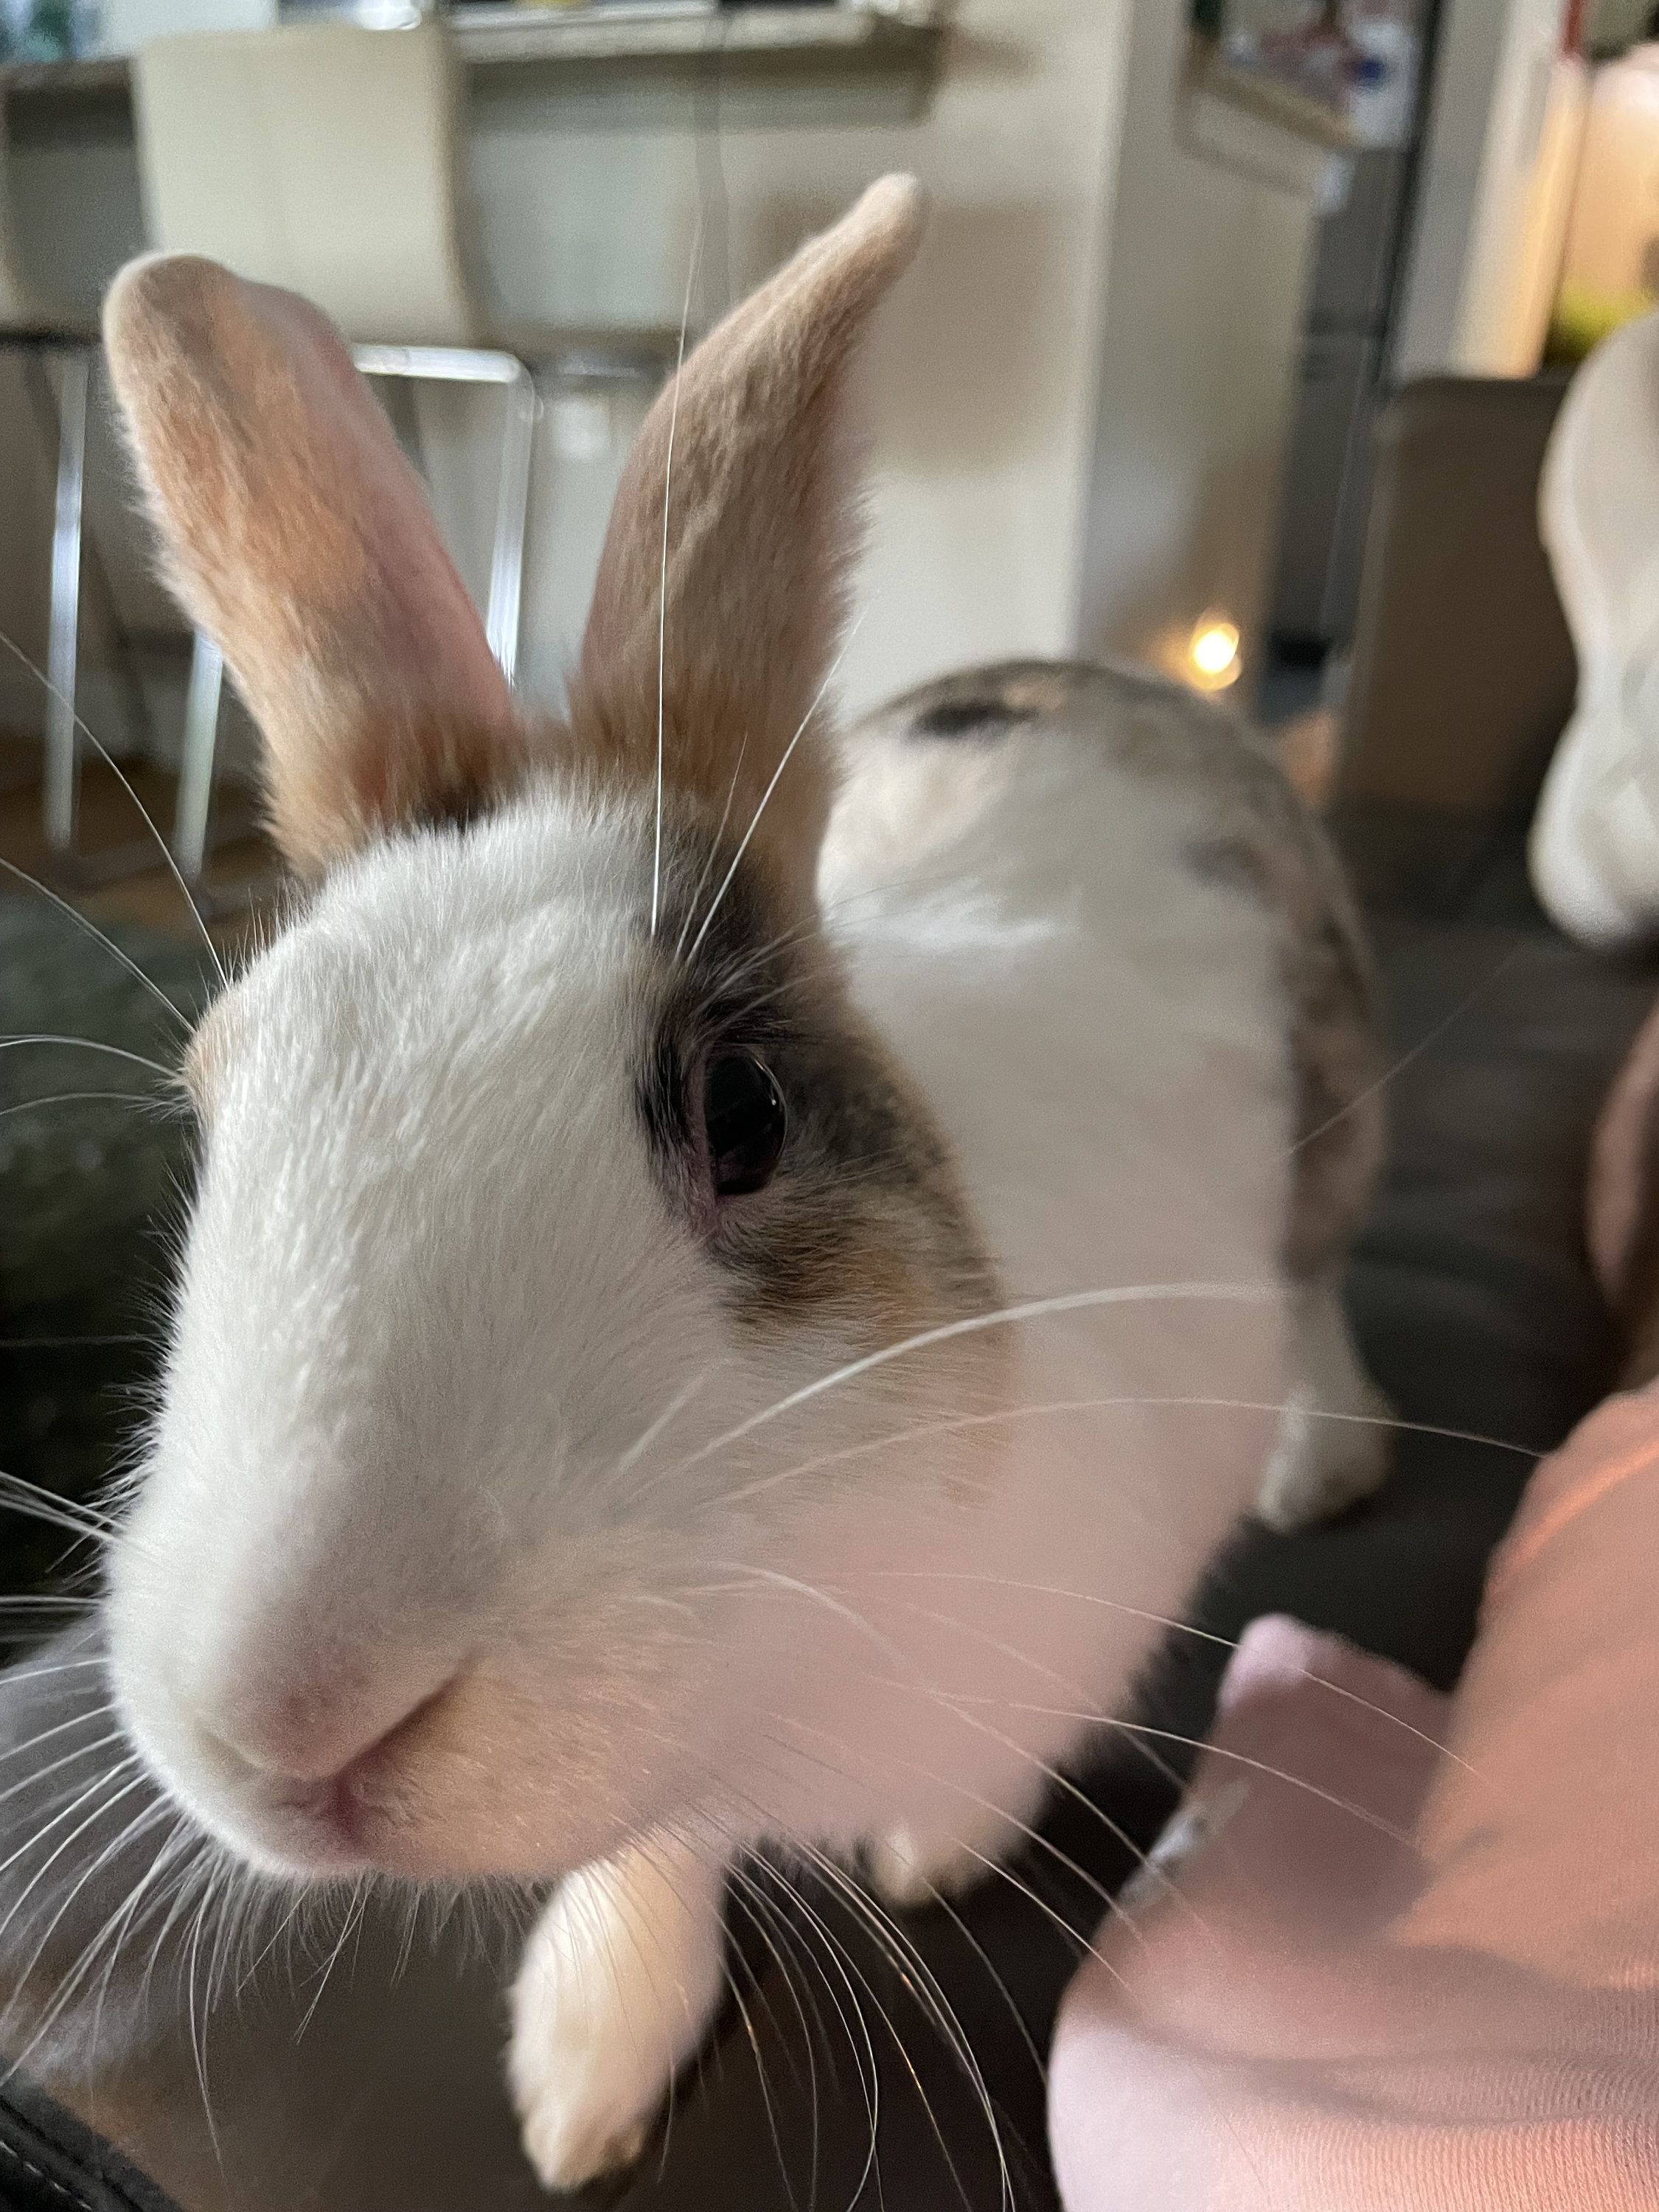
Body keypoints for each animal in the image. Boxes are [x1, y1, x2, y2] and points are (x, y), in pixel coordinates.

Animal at [96, 174, 1388, 2191]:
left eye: (743, 1112)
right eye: (218, 1094)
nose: (288, 1725)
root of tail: (1132, 682)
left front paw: (934, 1848)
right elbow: (653, 1857)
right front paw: (583, 2075)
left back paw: (1329, 1454)